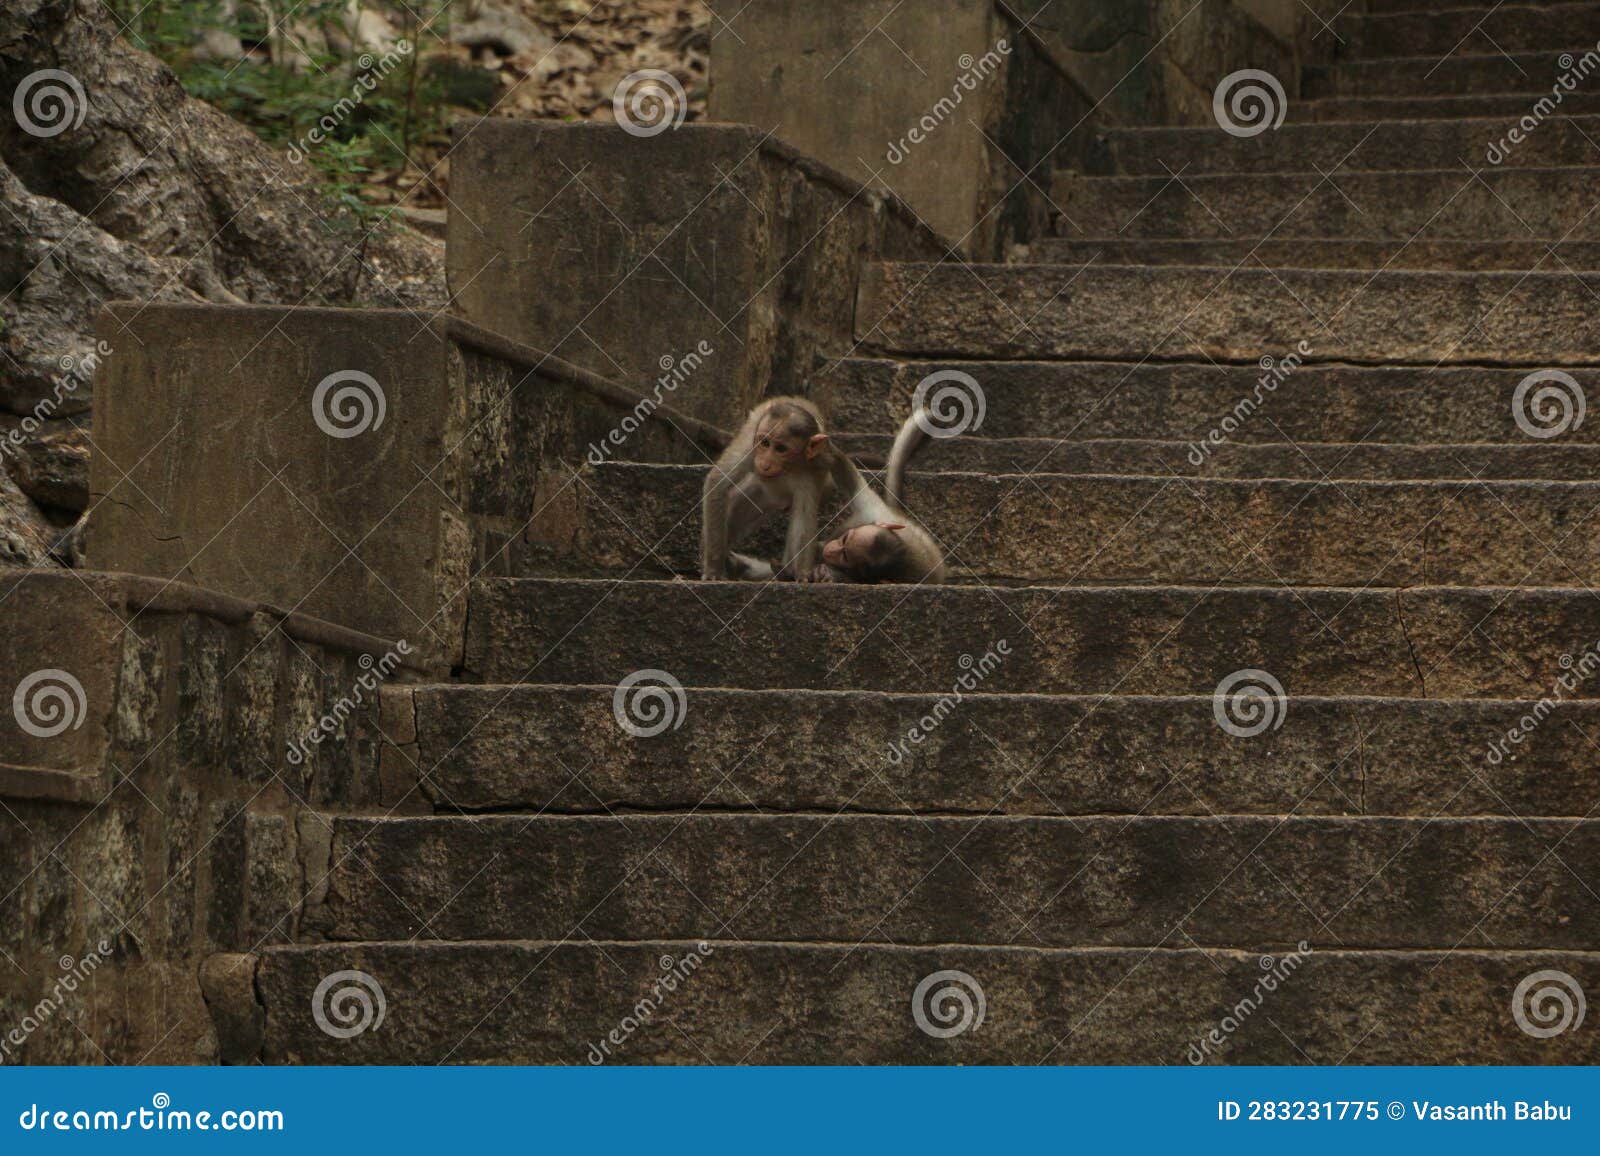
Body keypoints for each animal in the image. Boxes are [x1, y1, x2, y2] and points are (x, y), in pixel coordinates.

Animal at [700, 396, 863, 581]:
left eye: (781, 449)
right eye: (765, 443)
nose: (765, 464)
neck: (788, 467)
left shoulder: (817, 464)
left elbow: (804, 513)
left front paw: (803, 573)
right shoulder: (750, 446)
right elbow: (718, 482)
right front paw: (713, 570)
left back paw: (785, 571)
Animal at [806, 407, 946, 585]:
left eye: (845, 556)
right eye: (845, 539)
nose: (831, 550)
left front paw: (828, 573)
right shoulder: (872, 511)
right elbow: (847, 475)